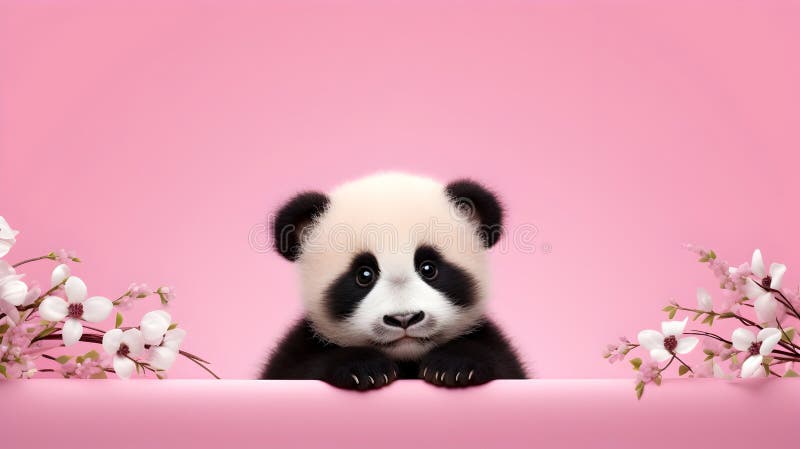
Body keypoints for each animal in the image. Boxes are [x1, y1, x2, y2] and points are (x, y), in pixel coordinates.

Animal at [261, 172, 526, 389]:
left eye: (428, 268)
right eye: (364, 275)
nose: (404, 319)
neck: (406, 358)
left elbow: (503, 365)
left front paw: (454, 366)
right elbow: (295, 371)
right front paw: (365, 369)